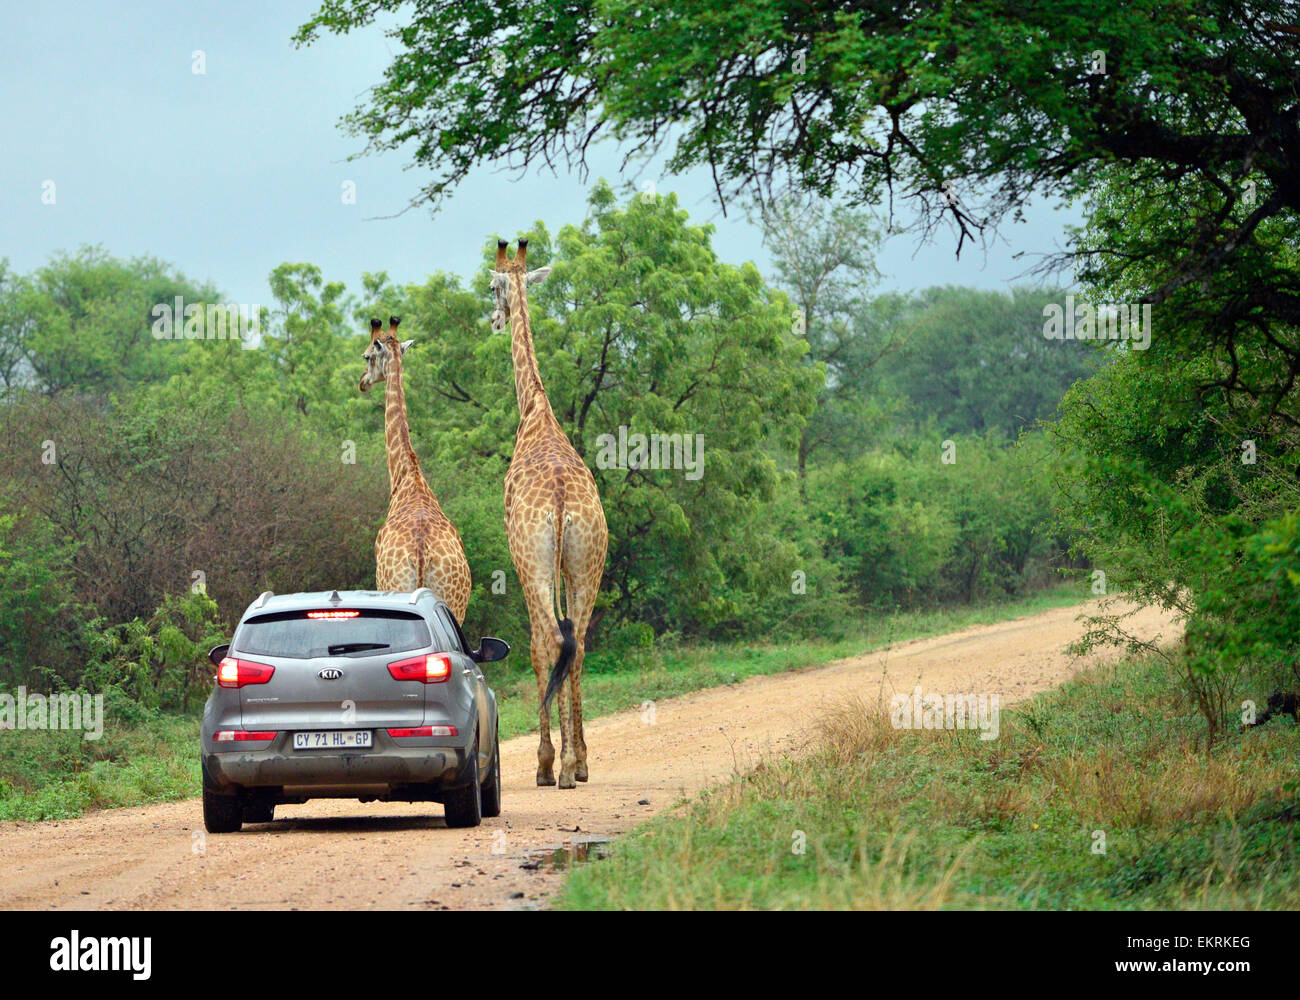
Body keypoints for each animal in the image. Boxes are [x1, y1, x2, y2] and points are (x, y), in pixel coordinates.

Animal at [359, 316, 471, 622]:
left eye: (367, 356)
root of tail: (422, 555)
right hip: (455, 602)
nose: (362, 383)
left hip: (394, 585)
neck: (408, 475)